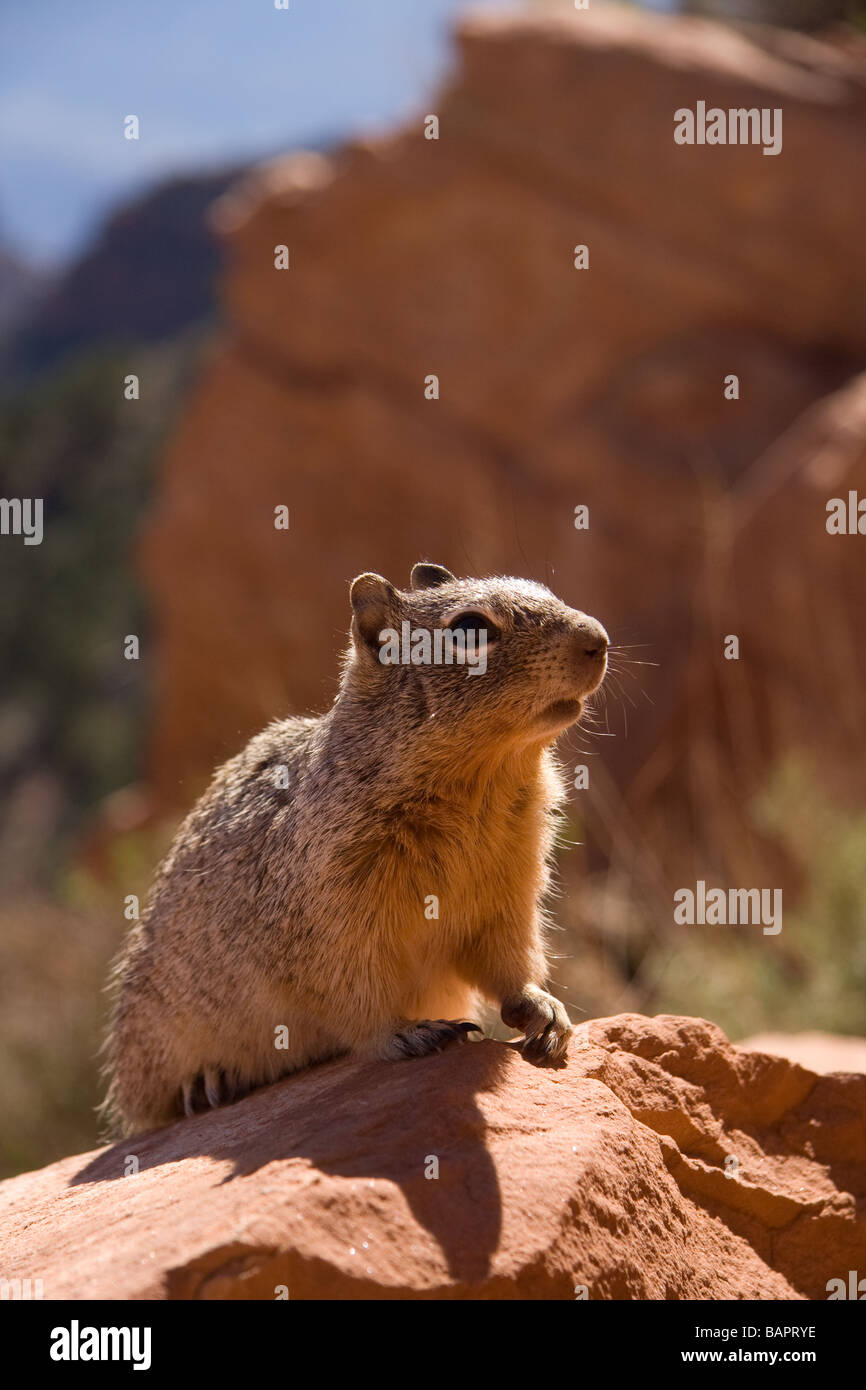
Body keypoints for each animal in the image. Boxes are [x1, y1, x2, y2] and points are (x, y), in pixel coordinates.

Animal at [102, 564, 609, 1135]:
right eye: (470, 629)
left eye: (545, 589)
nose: (598, 639)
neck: (481, 785)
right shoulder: (333, 924)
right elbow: (357, 999)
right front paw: (411, 1034)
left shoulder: (510, 898)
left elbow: (509, 963)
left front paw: (544, 1010)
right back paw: (207, 1084)